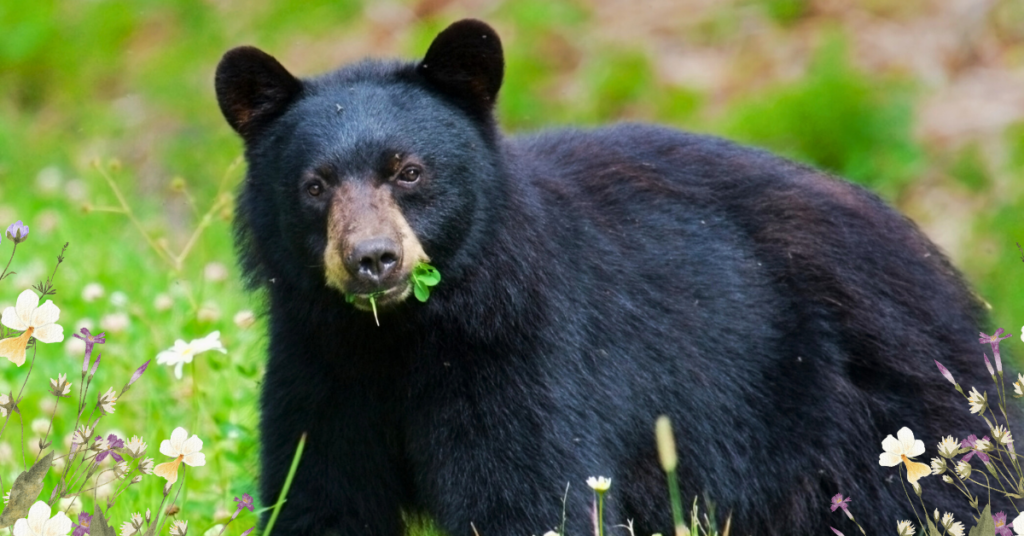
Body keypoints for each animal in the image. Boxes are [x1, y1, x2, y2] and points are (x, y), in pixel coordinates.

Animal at [214, 18, 1012, 536]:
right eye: (315, 185)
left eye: (408, 172)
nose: (373, 259)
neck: (402, 337)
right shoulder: (319, 366)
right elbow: (319, 494)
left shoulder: (526, 357)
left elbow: (531, 497)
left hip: (878, 417)